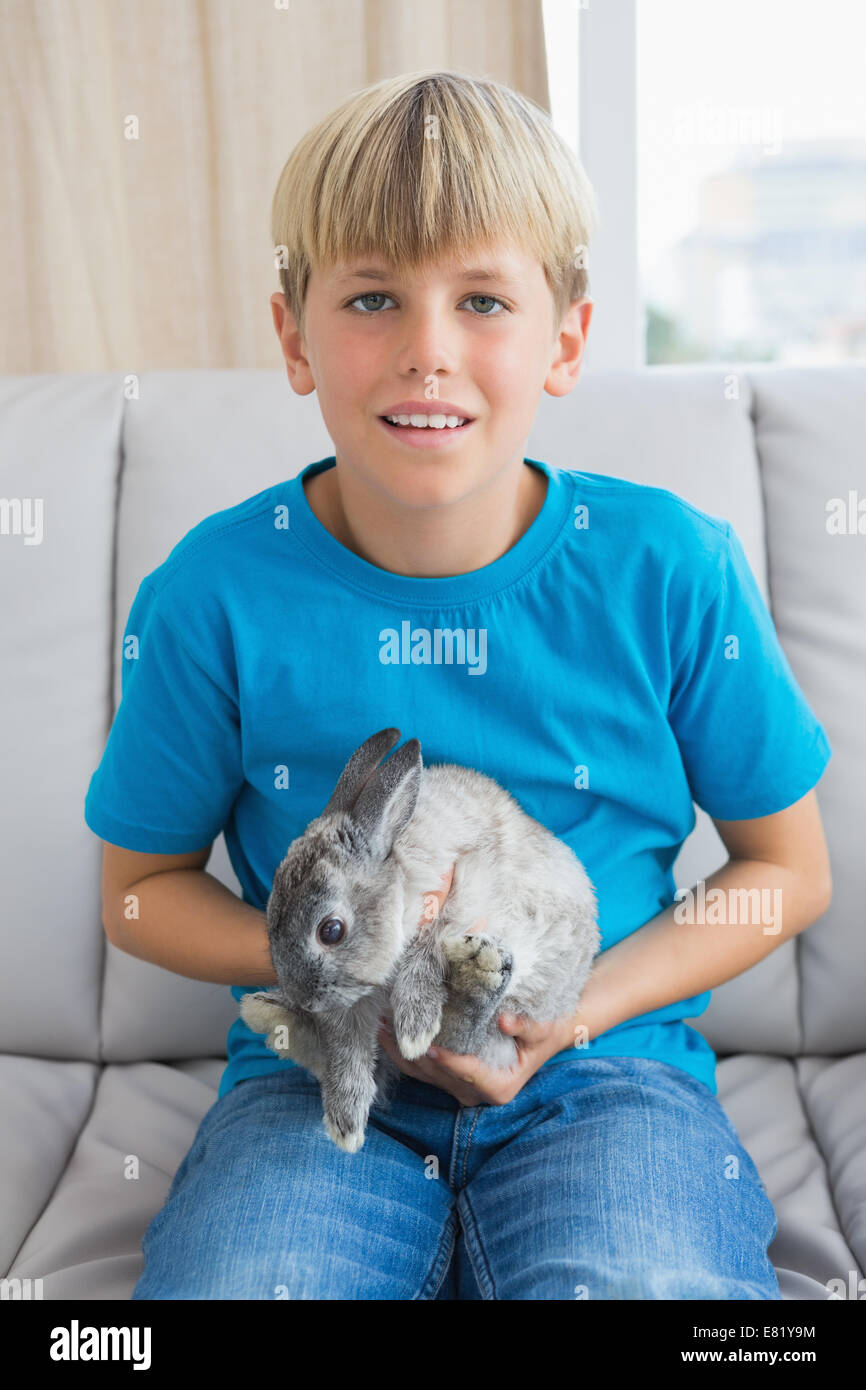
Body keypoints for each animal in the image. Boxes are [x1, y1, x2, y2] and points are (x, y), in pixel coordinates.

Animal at [240, 727, 600, 1153]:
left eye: (331, 930)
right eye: (271, 917)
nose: (304, 999)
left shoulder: (460, 892)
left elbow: (428, 950)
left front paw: (415, 1027)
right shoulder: (350, 1006)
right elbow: (346, 1051)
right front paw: (346, 1124)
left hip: (529, 987)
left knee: (463, 1040)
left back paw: (478, 977)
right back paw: (276, 1019)